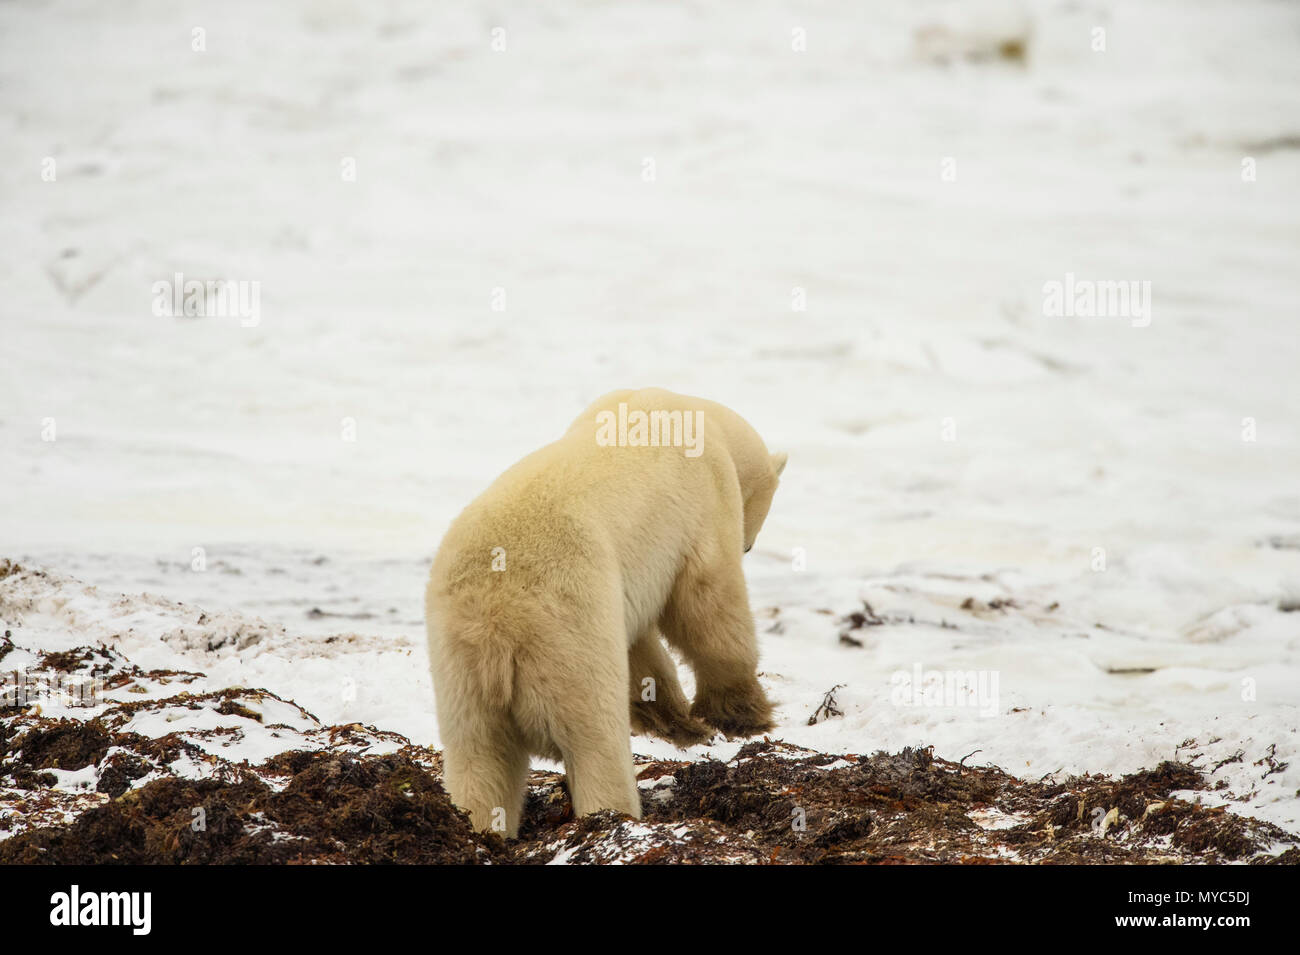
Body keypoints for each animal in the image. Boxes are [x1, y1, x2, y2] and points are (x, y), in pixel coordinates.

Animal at [425, 387, 785, 837]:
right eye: (747, 543)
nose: (748, 546)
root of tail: (494, 621)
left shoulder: (622, 587)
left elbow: (639, 645)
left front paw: (676, 719)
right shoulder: (704, 504)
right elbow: (708, 604)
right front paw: (741, 715)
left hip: (458, 661)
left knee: (479, 756)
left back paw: (479, 828)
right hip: (565, 634)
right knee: (595, 739)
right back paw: (613, 815)